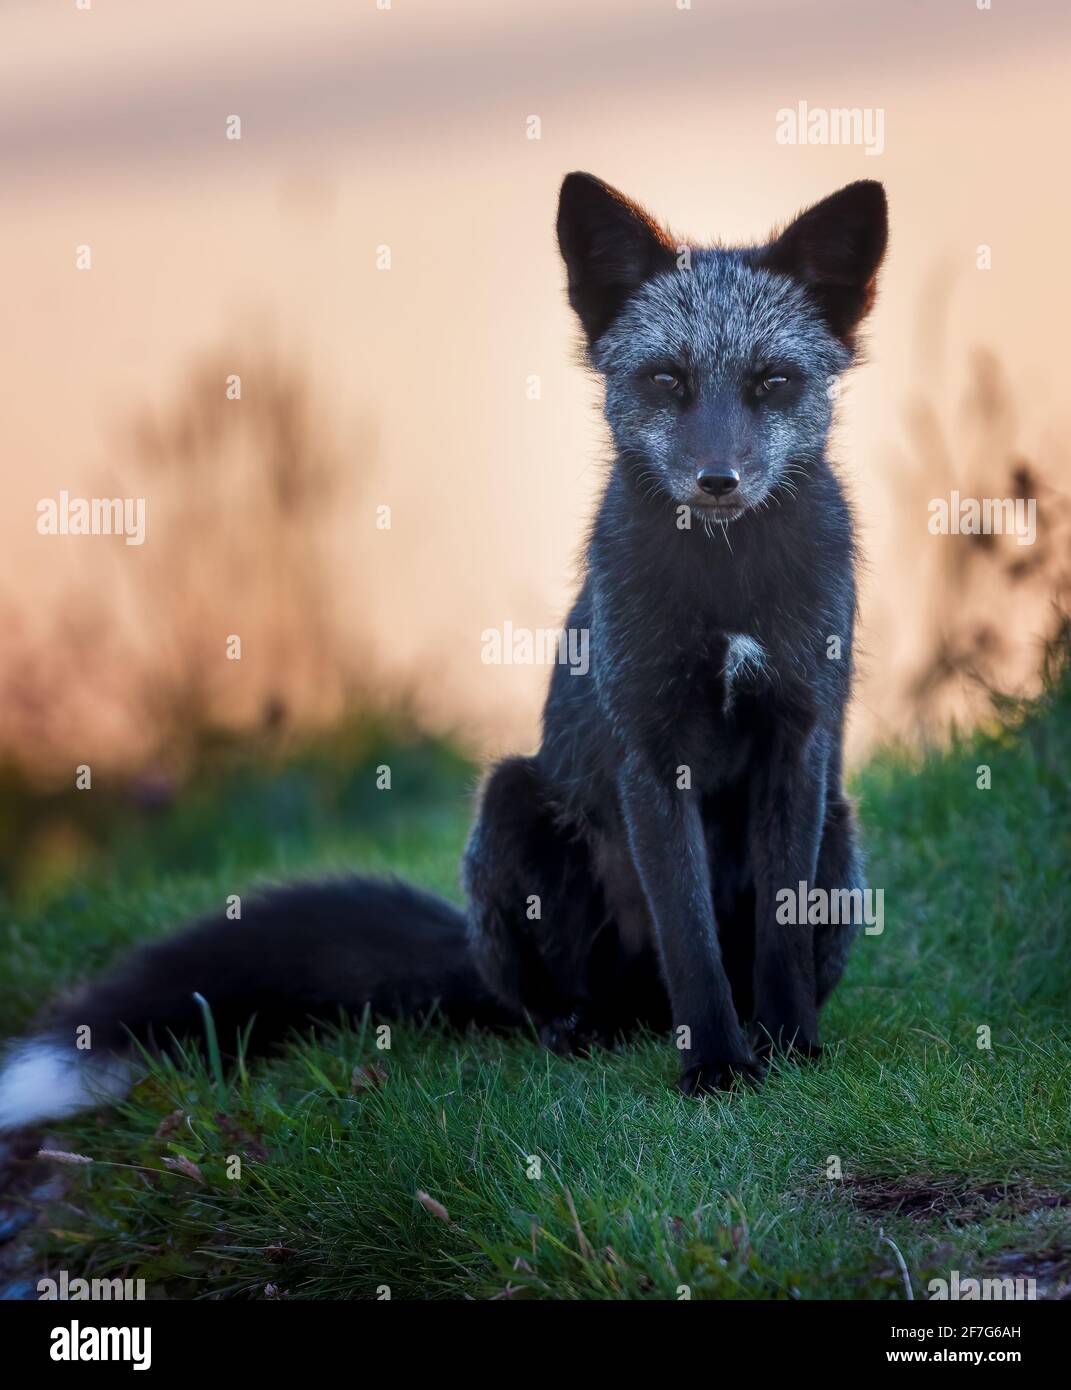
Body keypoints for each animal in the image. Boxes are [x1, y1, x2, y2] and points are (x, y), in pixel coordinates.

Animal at [0, 172, 887, 1129]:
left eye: (771, 382)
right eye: (665, 379)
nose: (716, 481)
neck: (726, 591)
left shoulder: (798, 738)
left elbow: (775, 939)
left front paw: (787, 1050)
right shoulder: (652, 753)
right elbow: (691, 942)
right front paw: (717, 1066)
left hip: (838, 834)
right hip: (509, 808)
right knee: (566, 1005)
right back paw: (589, 1032)